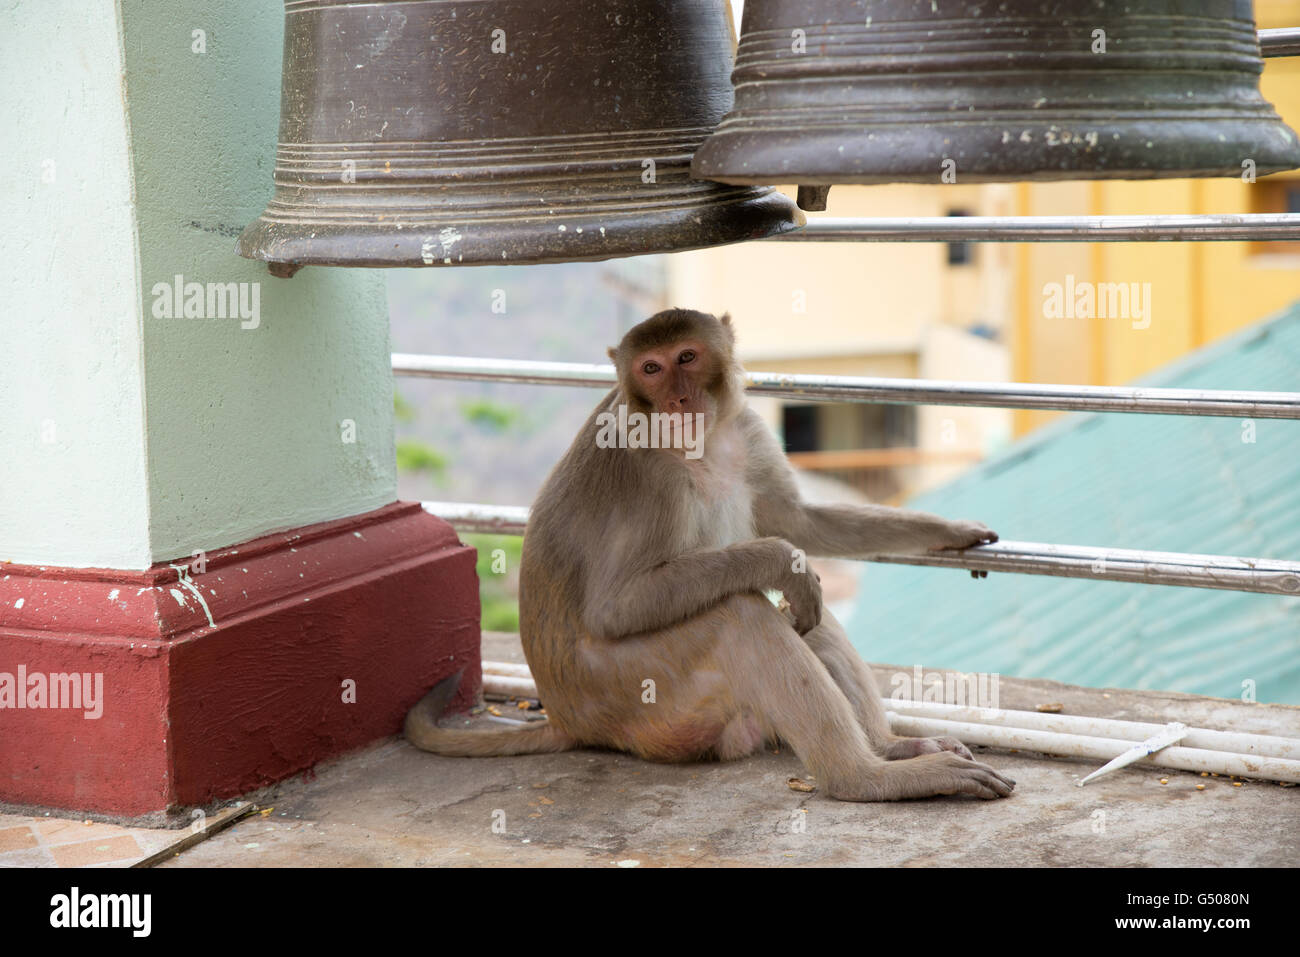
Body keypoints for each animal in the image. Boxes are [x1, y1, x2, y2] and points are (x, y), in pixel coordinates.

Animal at [406, 308, 1015, 801]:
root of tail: (569, 720)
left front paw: (949, 529)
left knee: (802, 619)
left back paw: (890, 750)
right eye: (651, 368)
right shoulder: (649, 475)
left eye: (687, 357)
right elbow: (616, 606)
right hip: (636, 698)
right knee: (741, 615)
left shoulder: (746, 429)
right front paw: (781, 560)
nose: (678, 399)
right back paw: (866, 778)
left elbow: (799, 522)